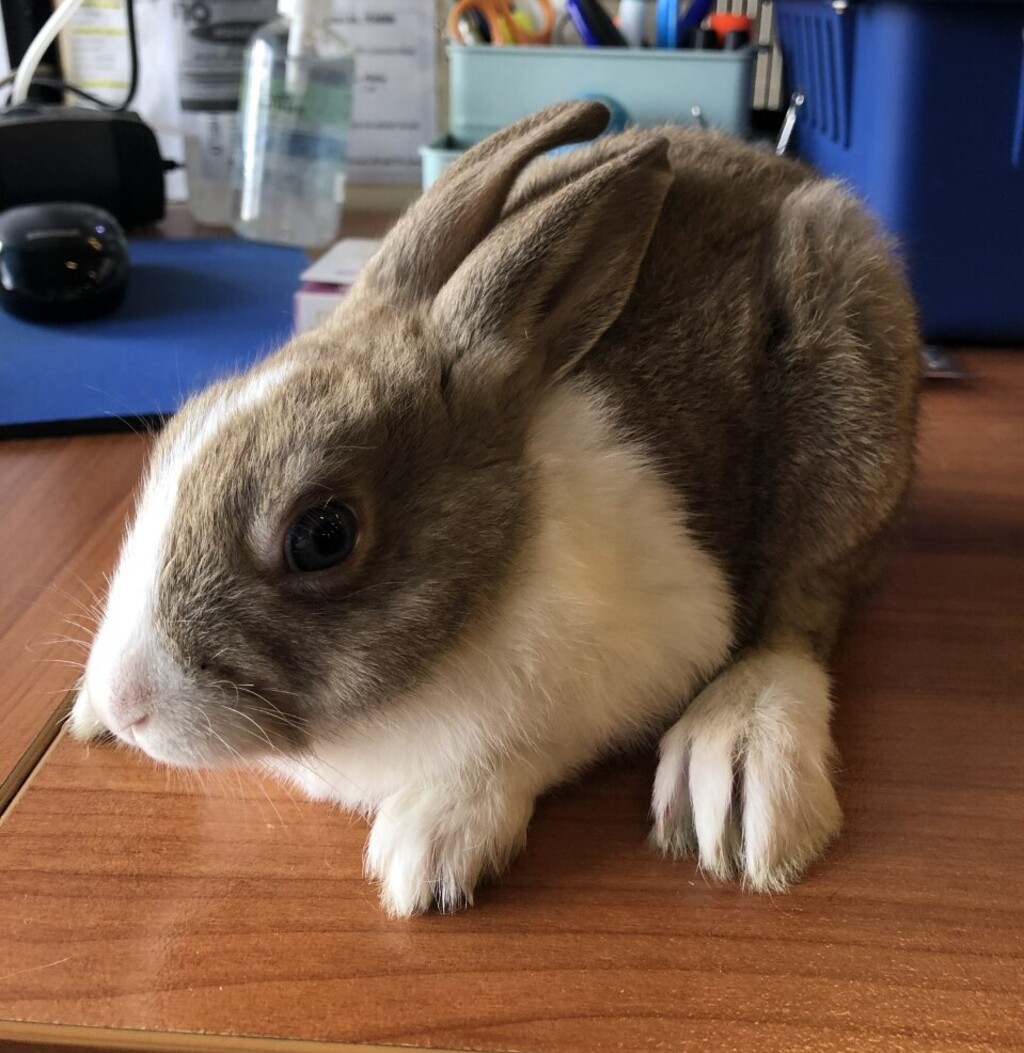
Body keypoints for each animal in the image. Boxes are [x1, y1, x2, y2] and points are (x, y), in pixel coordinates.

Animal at [70, 100, 920, 916]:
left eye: (322, 535)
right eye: (176, 433)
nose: (127, 702)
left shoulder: (640, 658)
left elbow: (520, 750)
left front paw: (427, 845)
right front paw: (86, 713)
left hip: (847, 433)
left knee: (801, 614)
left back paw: (741, 763)